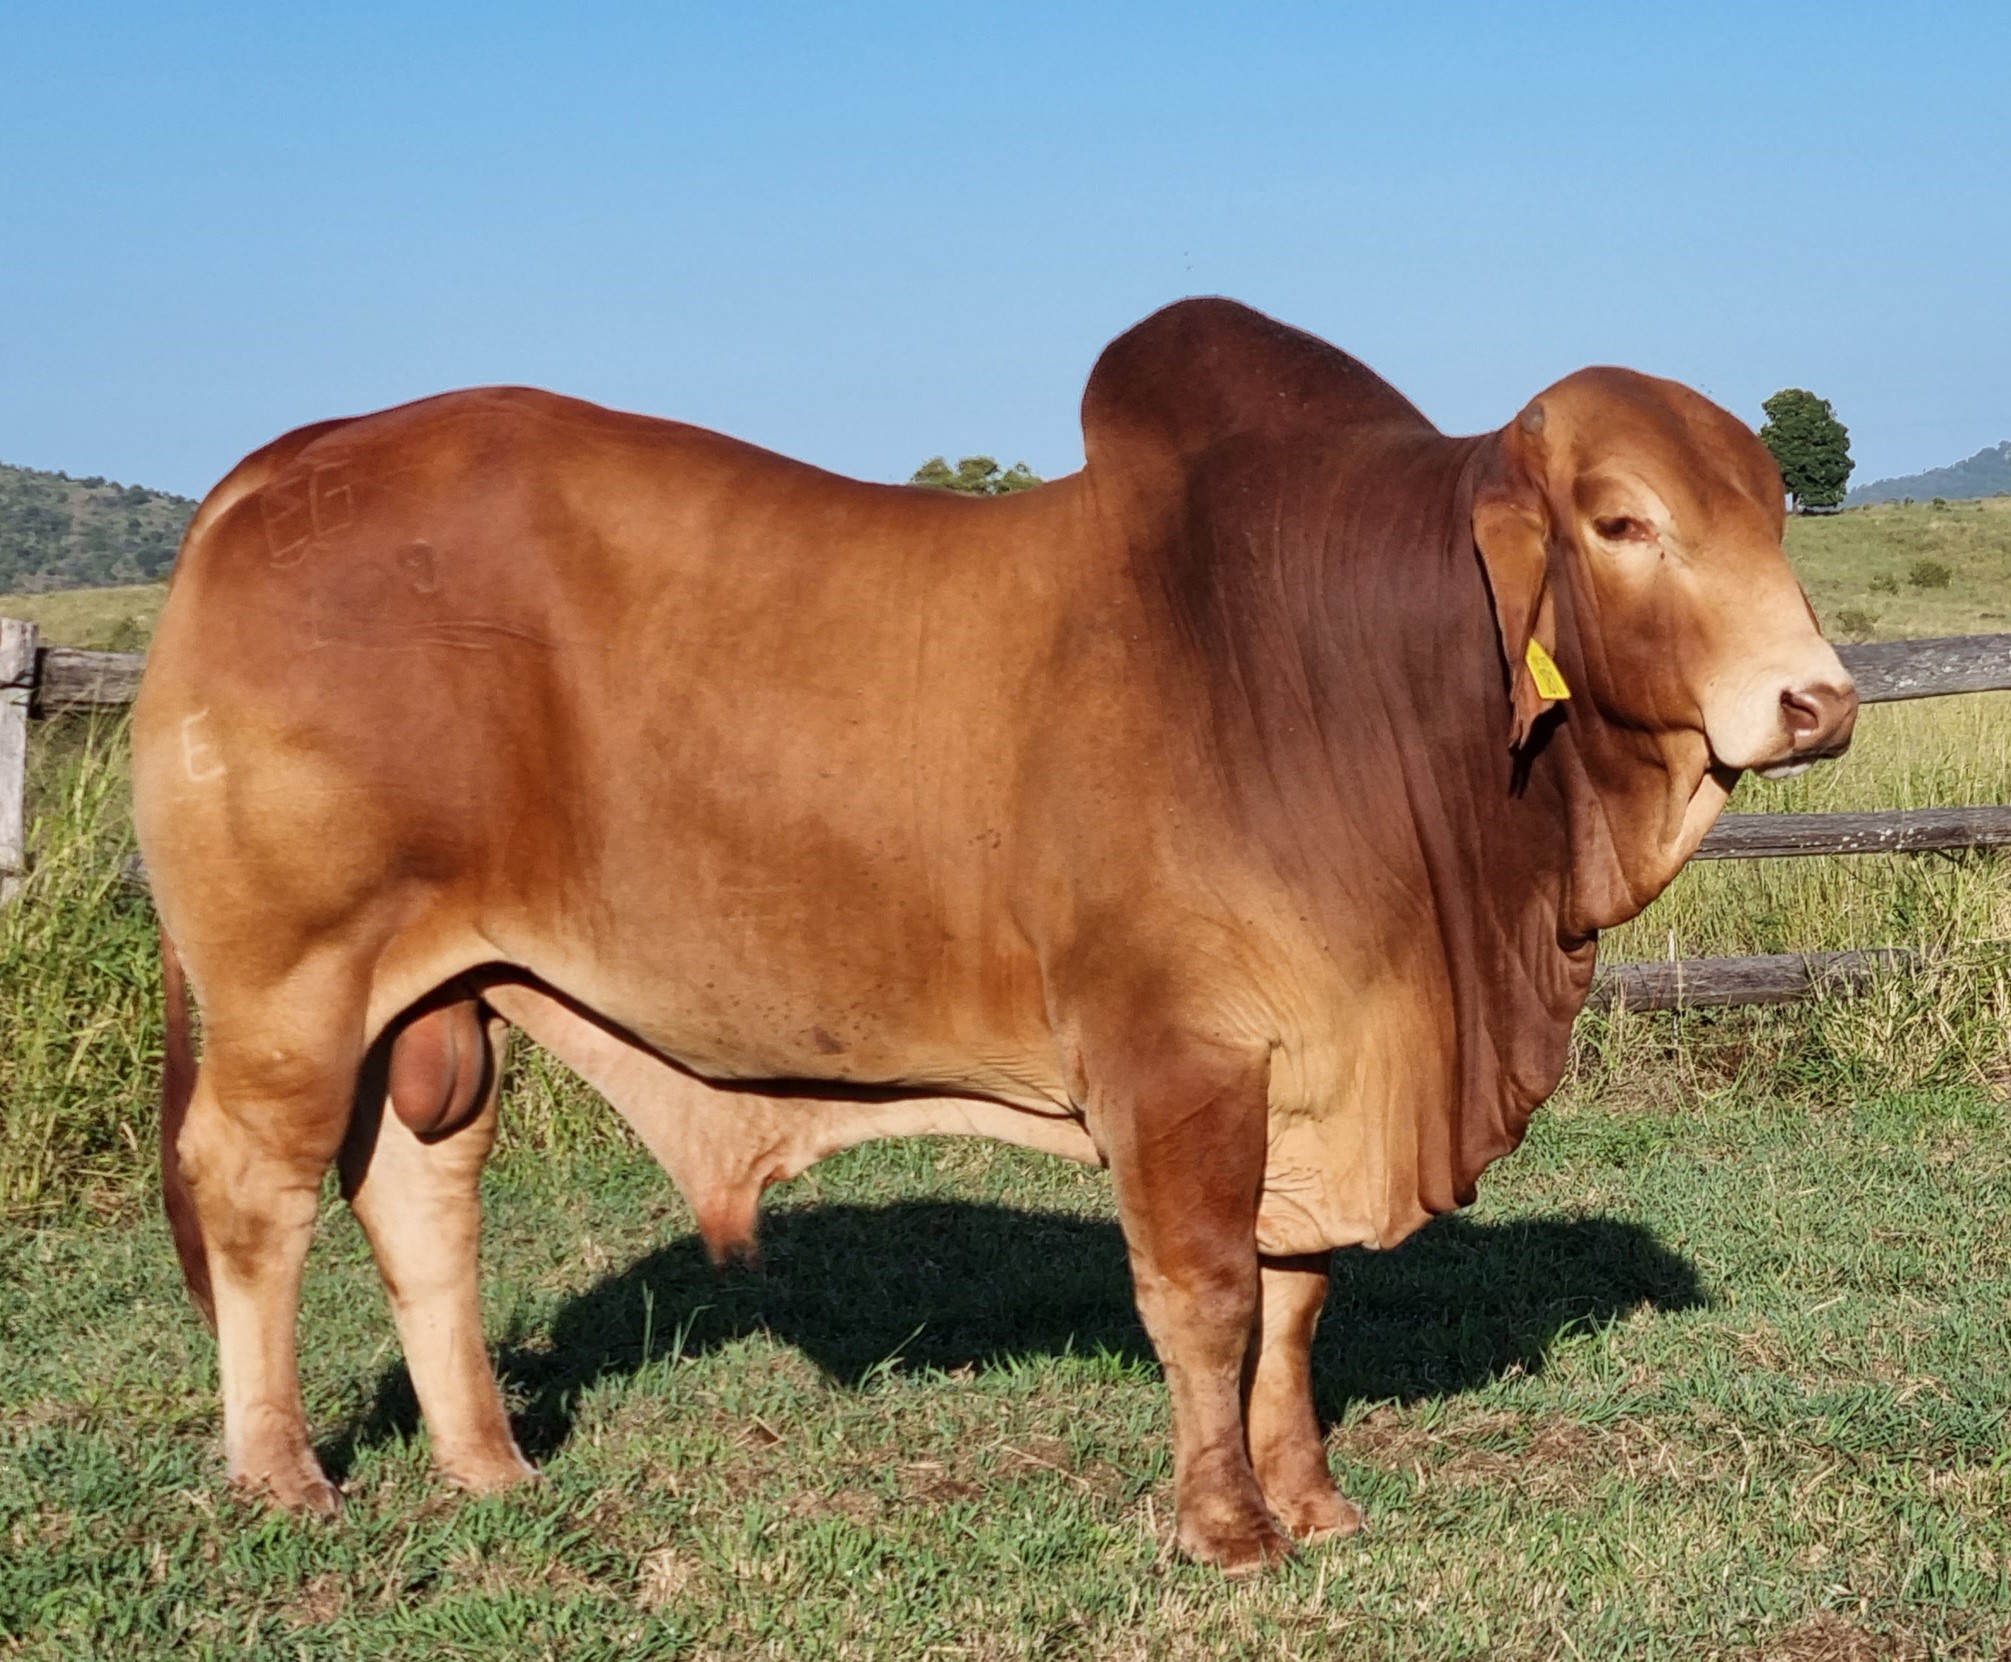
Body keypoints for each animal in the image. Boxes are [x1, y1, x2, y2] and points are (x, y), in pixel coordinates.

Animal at [132, 298, 1855, 1572]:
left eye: (1773, 504)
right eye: (1620, 520)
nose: (1815, 701)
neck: (1349, 671)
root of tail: (275, 470)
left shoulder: (1309, 1068)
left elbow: (1295, 1300)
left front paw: (1309, 1498)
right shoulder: (1174, 1059)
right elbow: (1201, 1296)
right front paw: (1226, 1526)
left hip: (441, 991)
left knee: (421, 1195)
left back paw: (488, 1465)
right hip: (290, 984)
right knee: (257, 1193)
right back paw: (283, 1474)